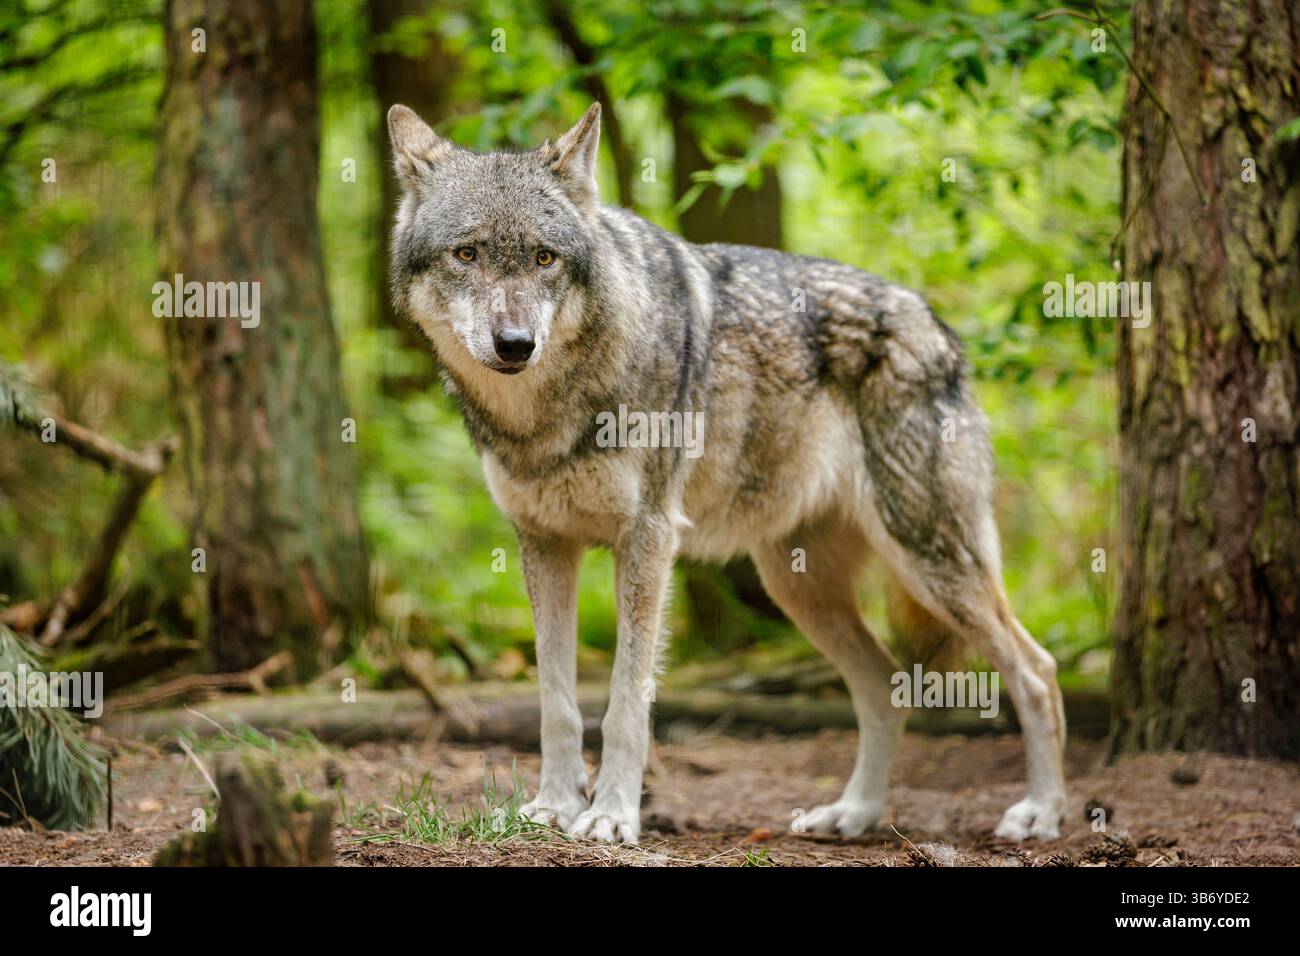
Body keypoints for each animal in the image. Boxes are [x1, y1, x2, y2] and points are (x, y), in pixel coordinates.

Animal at [386, 101, 1067, 844]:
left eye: (544, 257)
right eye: (468, 254)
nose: (516, 345)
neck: (546, 414)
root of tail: (940, 328)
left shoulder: (649, 539)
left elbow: (626, 702)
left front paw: (612, 815)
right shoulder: (543, 543)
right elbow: (556, 701)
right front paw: (554, 807)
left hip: (928, 562)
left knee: (1038, 673)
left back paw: (1042, 811)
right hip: (799, 586)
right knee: (885, 689)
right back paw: (853, 814)